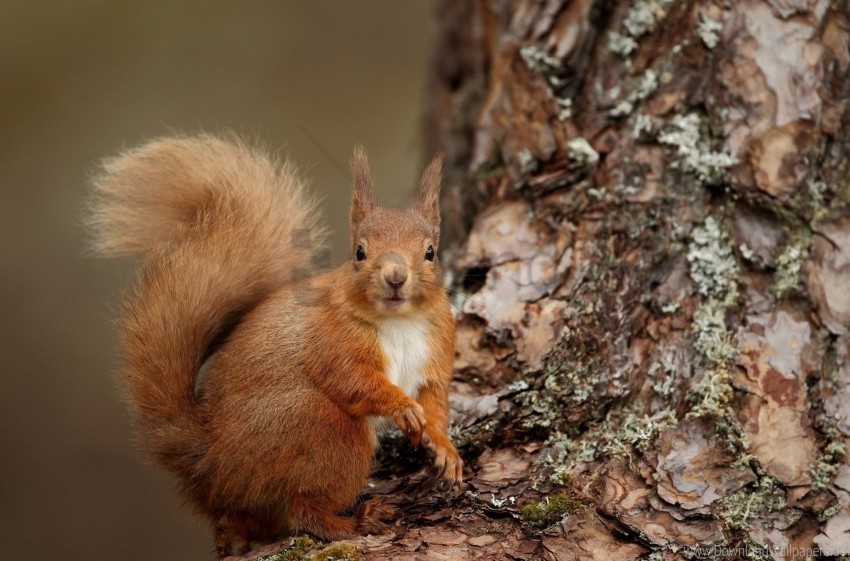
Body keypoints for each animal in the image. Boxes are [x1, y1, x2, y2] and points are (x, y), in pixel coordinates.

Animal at [88, 134, 463, 556]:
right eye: (359, 252)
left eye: (430, 252)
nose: (396, 277)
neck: (399, 321)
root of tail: (210, 463)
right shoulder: (329, 340)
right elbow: (353, 381)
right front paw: (403, 408)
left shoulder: (436, 352)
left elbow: (435, 402)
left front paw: (444, 449)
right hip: (322, 429)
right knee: (301, 508)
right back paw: (355, 521)